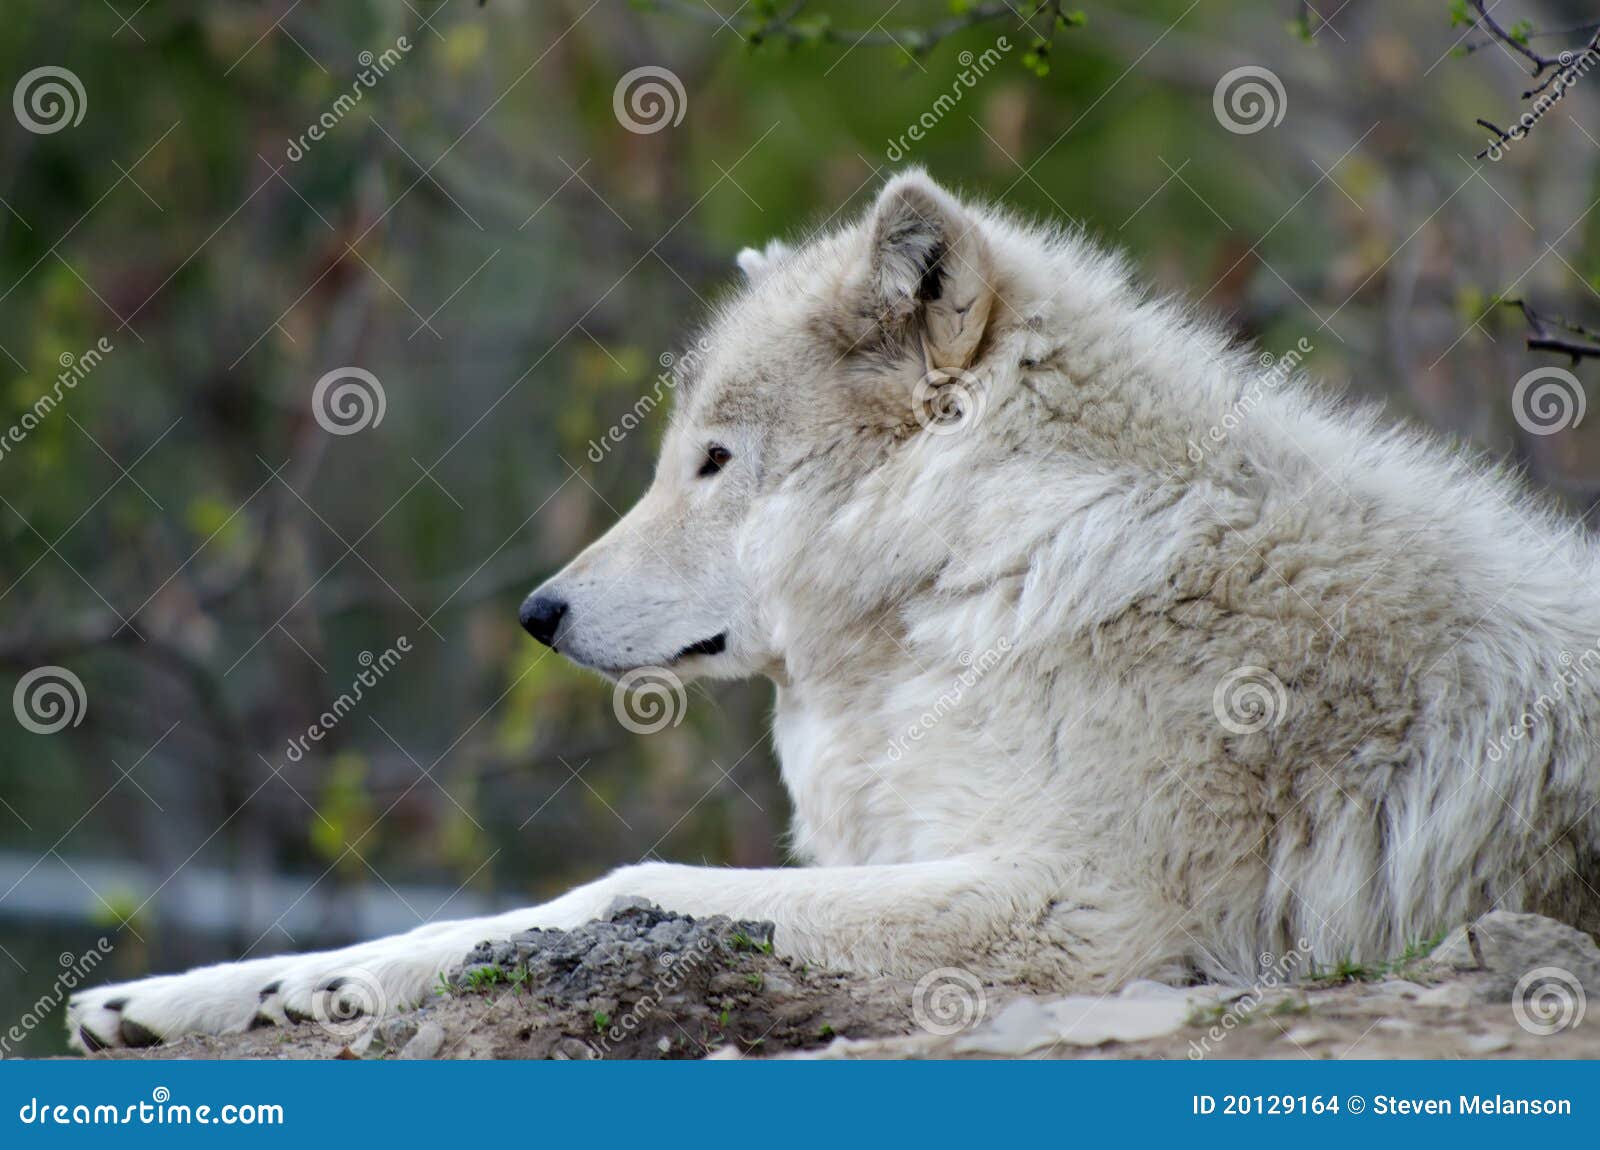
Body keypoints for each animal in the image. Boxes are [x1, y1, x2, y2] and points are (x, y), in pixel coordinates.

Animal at [68, 170, 1600, 1051]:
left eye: (714, 460)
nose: (538, 610)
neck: (999, 567)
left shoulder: (1074, 907)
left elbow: (611, 890)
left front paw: (322, 987)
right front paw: (196, 994)